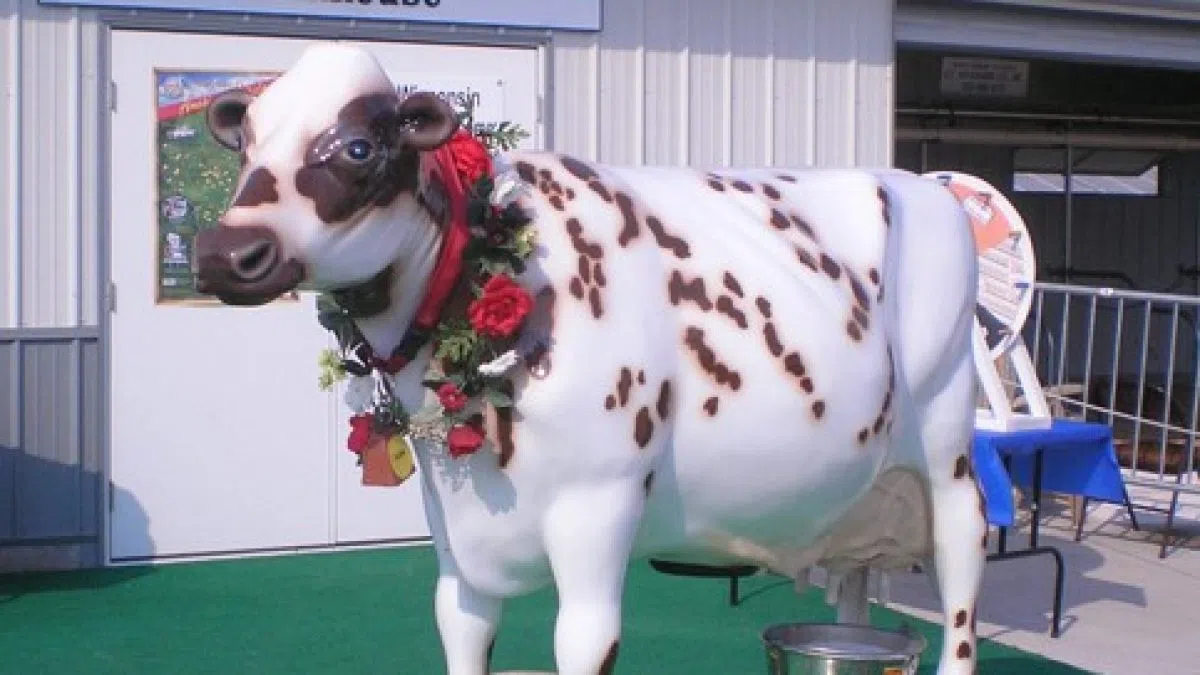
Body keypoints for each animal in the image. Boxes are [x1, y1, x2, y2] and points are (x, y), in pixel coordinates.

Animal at [193, 43, 986, 675]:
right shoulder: (453, 532)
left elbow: (582, 639)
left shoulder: (597, 504)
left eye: (360, 147)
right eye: (245, 143)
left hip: (947, 441)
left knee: (962, 565)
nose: (225, 252)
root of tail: (920, 182)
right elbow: (461, 625)